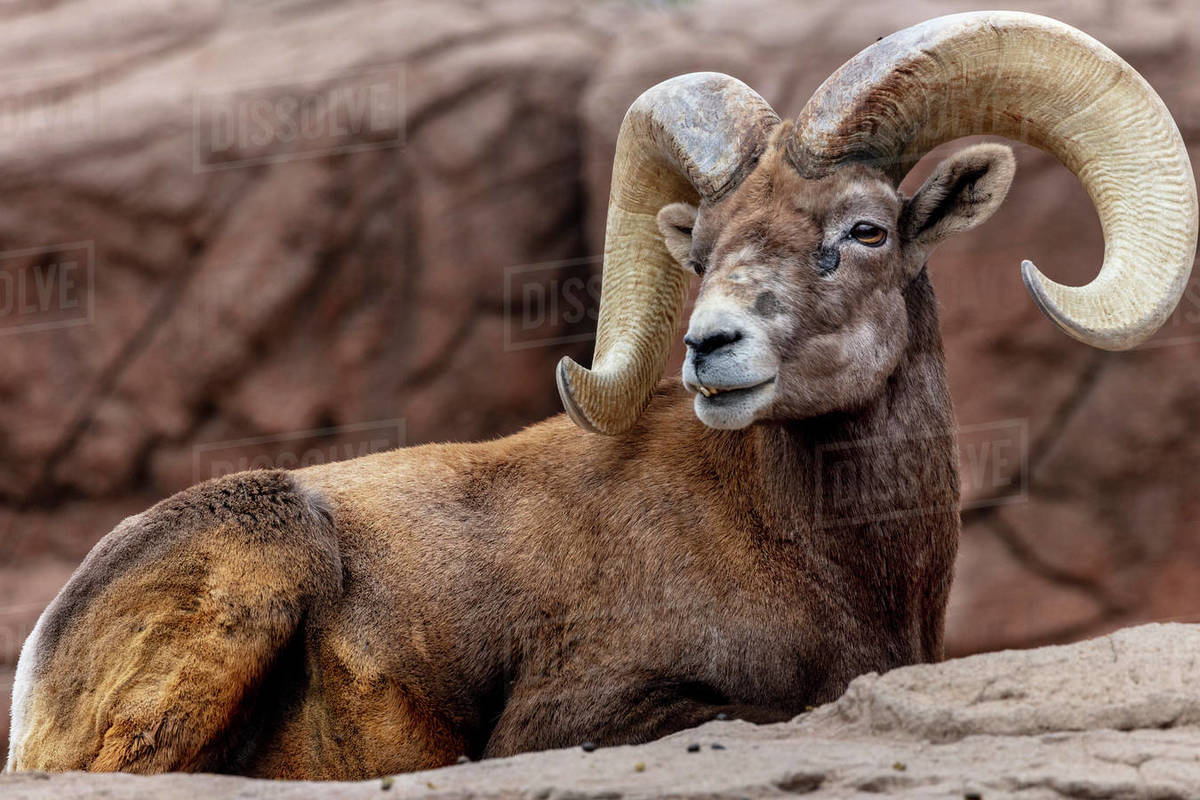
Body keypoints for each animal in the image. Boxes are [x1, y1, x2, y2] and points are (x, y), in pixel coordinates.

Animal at [7, 11, 1196, 780]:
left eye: (863, 230)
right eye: (702, 249)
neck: (822, 550)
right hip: (270, 546)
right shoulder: (582, 715)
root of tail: (42, 656)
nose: (712, 346)